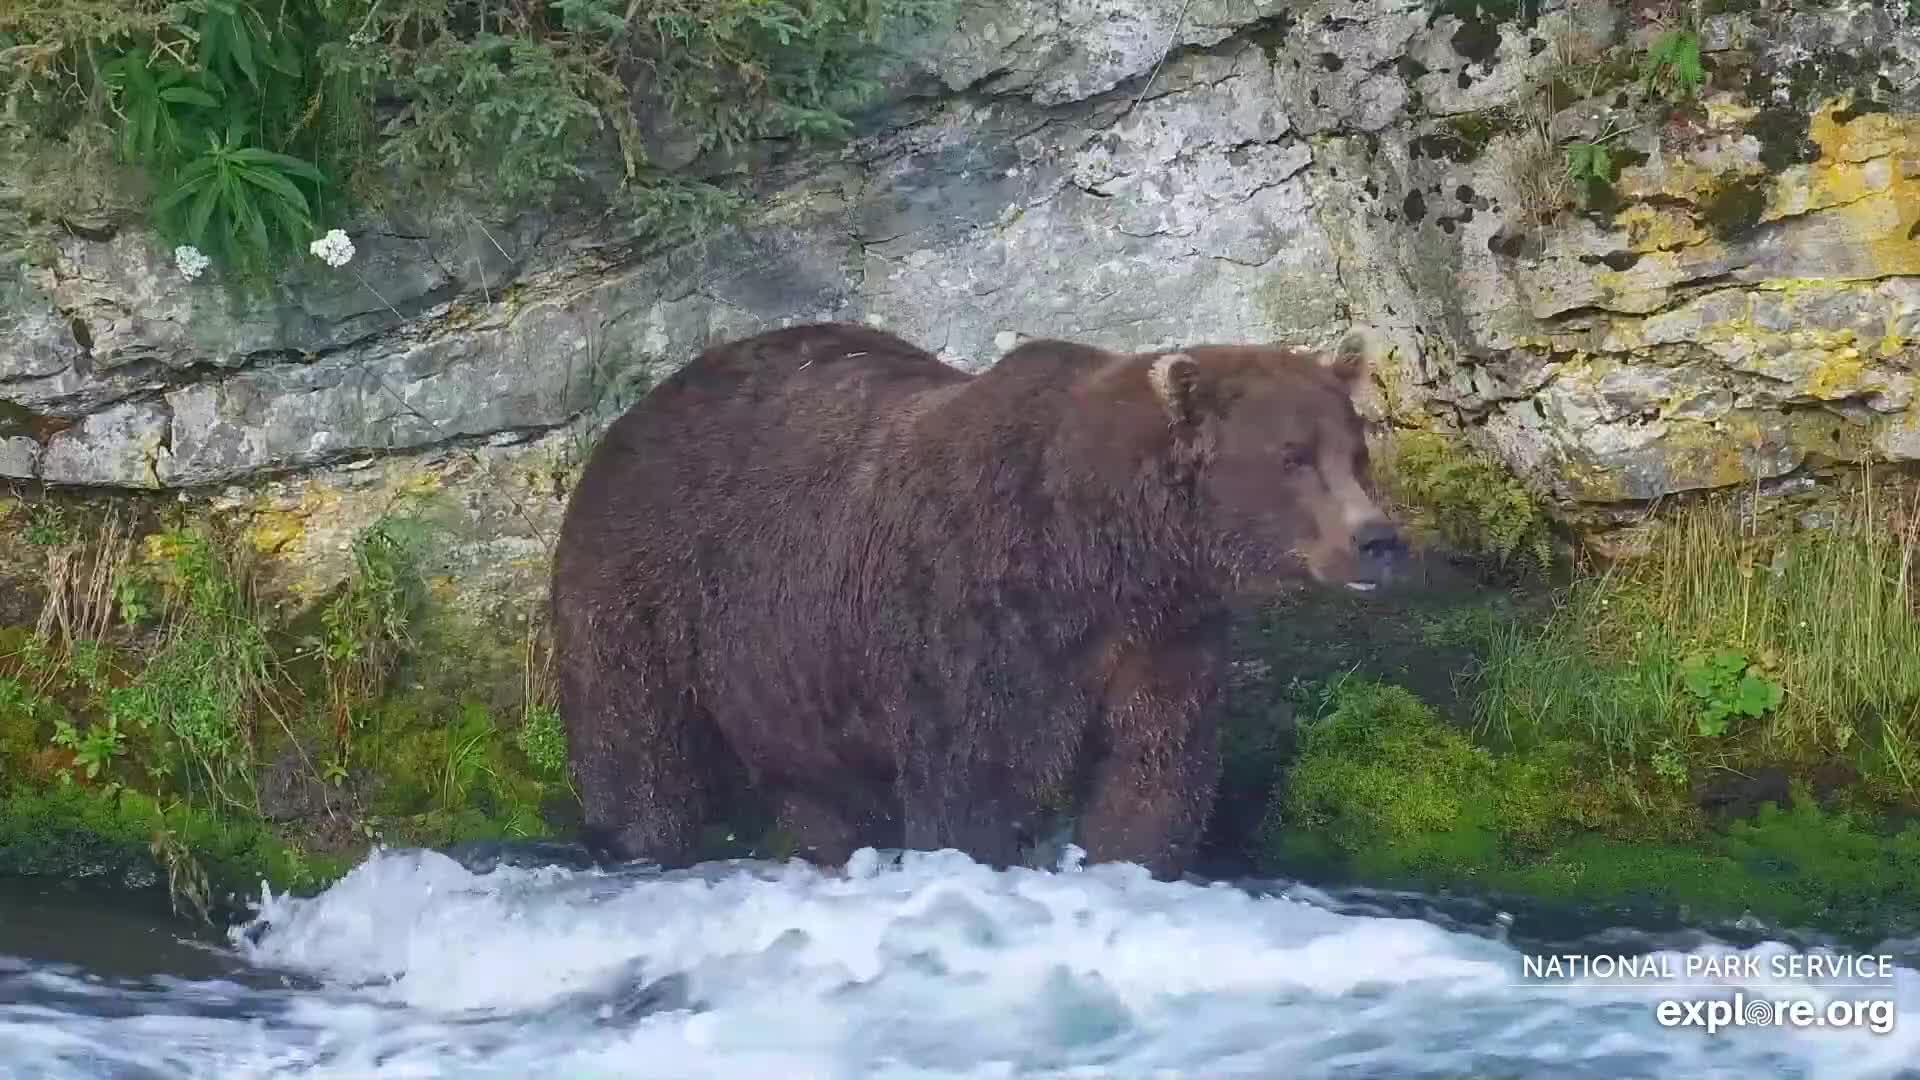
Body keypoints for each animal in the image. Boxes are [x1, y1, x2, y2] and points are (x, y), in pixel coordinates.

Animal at [550, 321, 1406, 880]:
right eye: (1292, 457)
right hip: (645, 582)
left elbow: (1154, 764)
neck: (1103, 551)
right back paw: (638, 839)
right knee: (637, 742)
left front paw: (1128, 857)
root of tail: (627, 419)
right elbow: (976, 776)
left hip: (786, 667)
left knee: (818, 785)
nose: (1377, 539)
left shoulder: (1162, 633)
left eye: (1356, 451)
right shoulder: (978, 613)